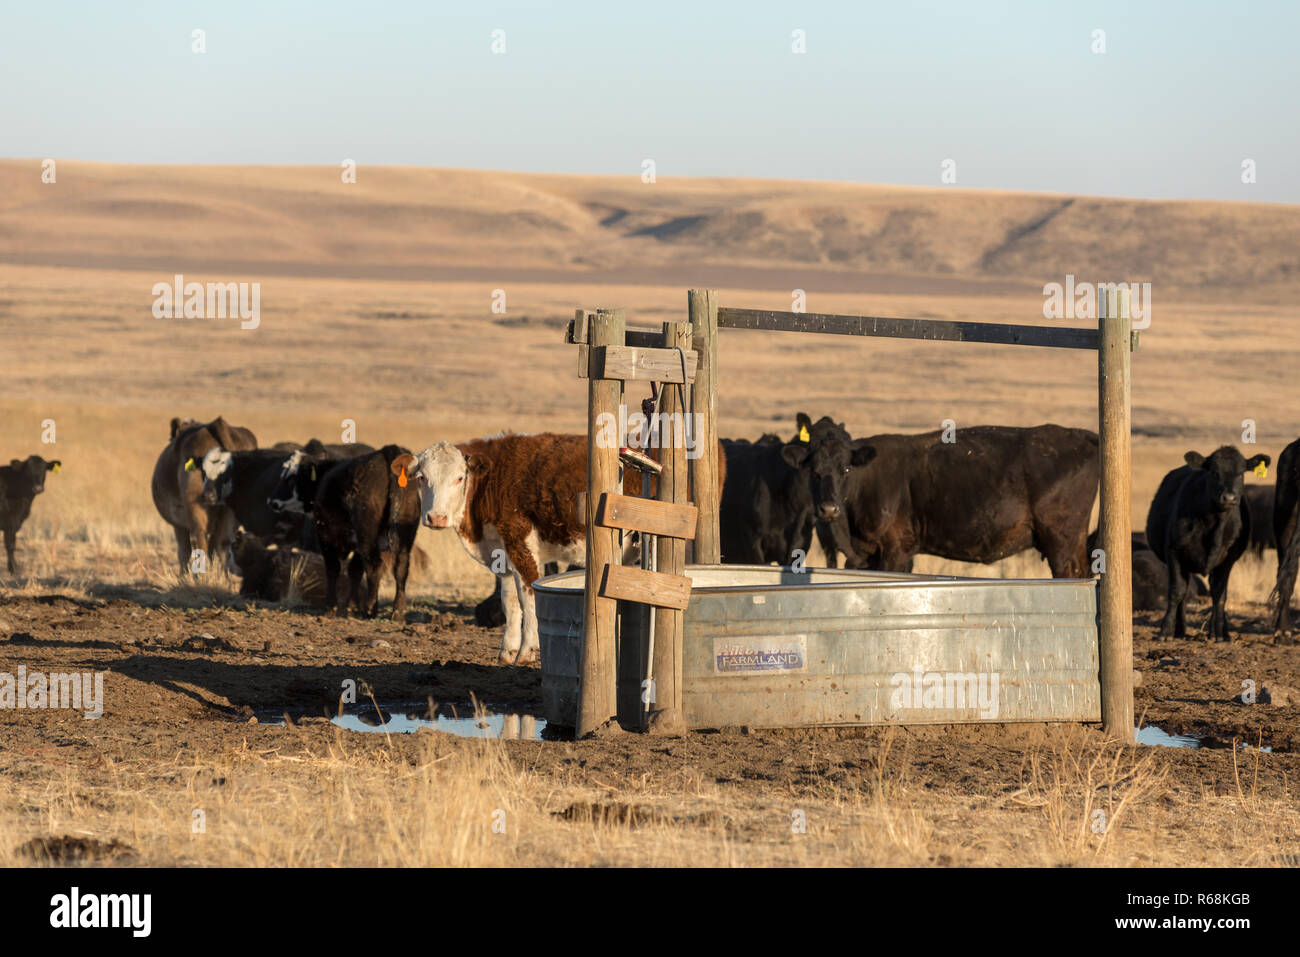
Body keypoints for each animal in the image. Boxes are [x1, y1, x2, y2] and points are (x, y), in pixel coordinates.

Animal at [151, 416, 258, 574]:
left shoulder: (178, 525)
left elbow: (184, 552)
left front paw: (183, 577)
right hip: (230, 512)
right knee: (223, 542)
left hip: (195, 506)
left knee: (199, 541)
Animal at [312, 445, 420, 619]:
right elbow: (355, 571)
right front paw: (350, 606)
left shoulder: (326, 539)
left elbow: (333, 569)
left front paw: (331, 607)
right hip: (403, 536)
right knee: (401, 567)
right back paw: (397, 612)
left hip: (367, 535)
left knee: (374, 565)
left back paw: (370, 609)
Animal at [829, 424, 1099, 577]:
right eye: (818, 469)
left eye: (846, 469)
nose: (827, 508)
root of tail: (1085, 436)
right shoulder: (866, 555)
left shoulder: (894, 551)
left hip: (1061, 543)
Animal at [1145, 446, 1269, 641]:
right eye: (1214, 472)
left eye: (1241, 473)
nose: (1229, 497)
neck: (1214, 525)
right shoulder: (1174, 552)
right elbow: (1176, 591)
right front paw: (1165, 631)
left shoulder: (1228, 559)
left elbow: (1219, 594)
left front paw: (1217, 633)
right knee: (1184, 592)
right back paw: (1180, 629)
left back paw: (1222, 631)